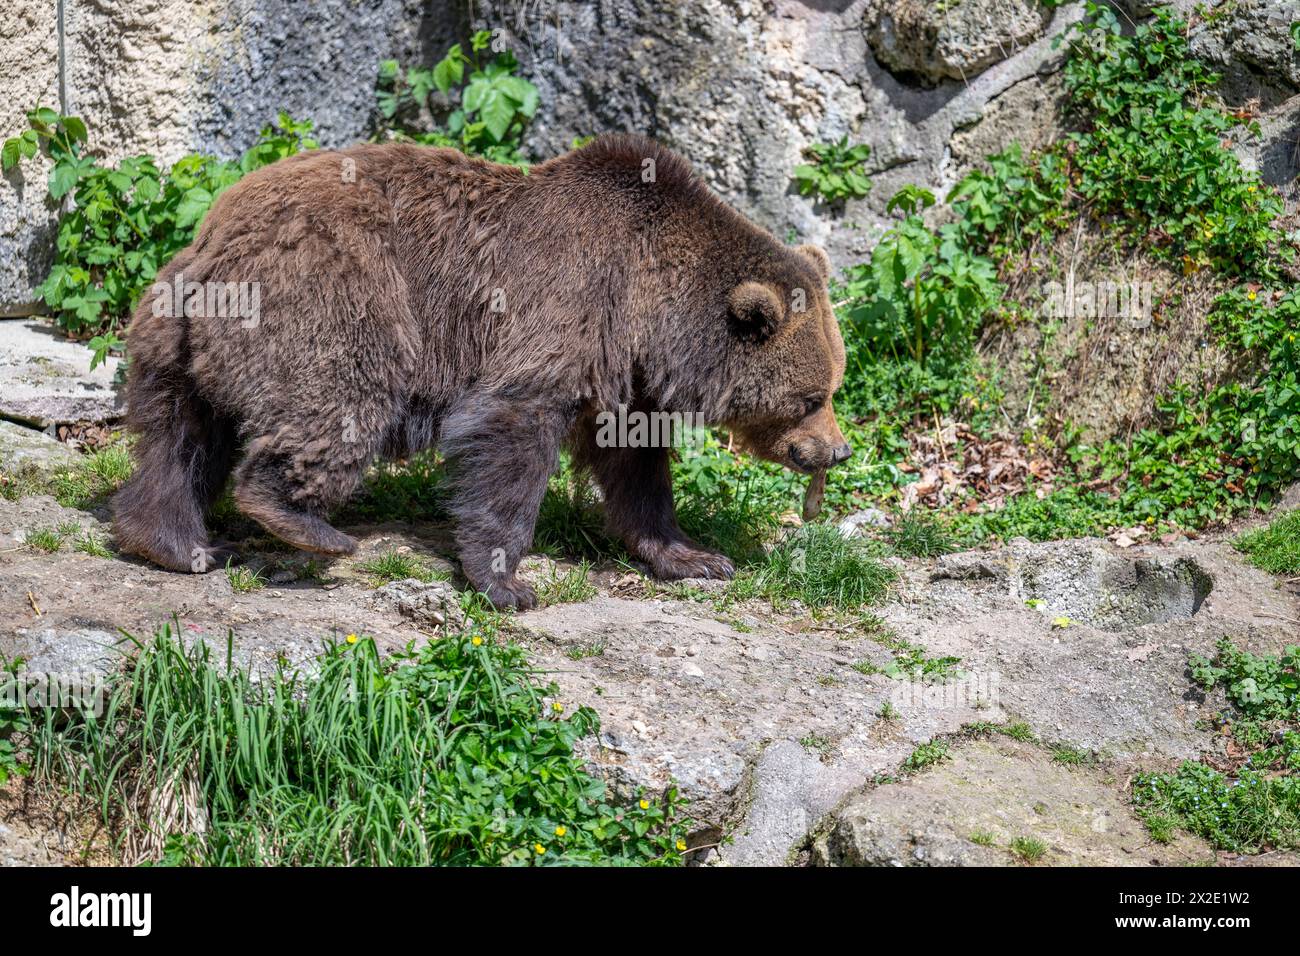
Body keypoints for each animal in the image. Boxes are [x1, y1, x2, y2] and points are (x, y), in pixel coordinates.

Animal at [112, 133, 852, 609]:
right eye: (809, 397)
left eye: (833, 388)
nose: (836, 450)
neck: (653, 307)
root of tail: (216, 236)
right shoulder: (568, 306)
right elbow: (511, 433)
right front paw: (508, 583)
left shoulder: (625, 374)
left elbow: (636, 466)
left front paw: (694, 556)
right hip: (335, 295)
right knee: (338, 396)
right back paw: (307, 524)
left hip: (174, 331)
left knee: (179, 435)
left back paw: (175, 543)